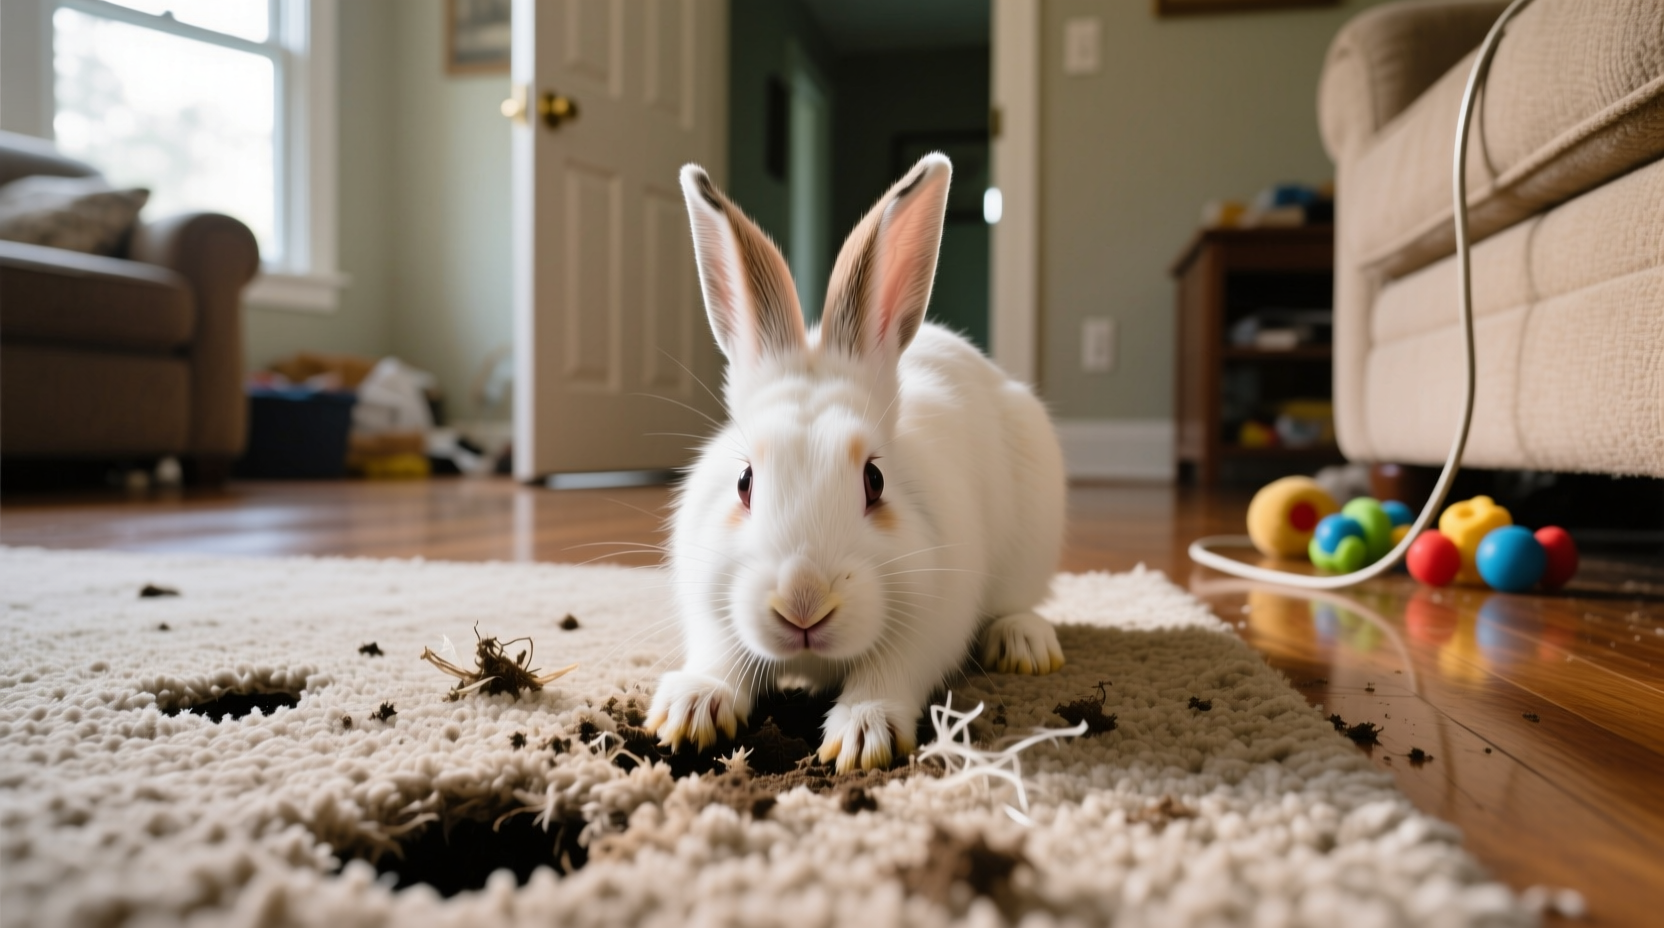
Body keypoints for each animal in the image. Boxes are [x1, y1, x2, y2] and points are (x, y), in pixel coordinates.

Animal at [644, 153, 1067, 772]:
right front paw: (691, 709)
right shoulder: (710, 601)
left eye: (875, 480)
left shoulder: (930, 622)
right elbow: (720, 654)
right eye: (744, 481)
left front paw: (864, 735)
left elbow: (890, 672)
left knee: (1020, 603)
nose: (803, 604)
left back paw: (1025, 645)